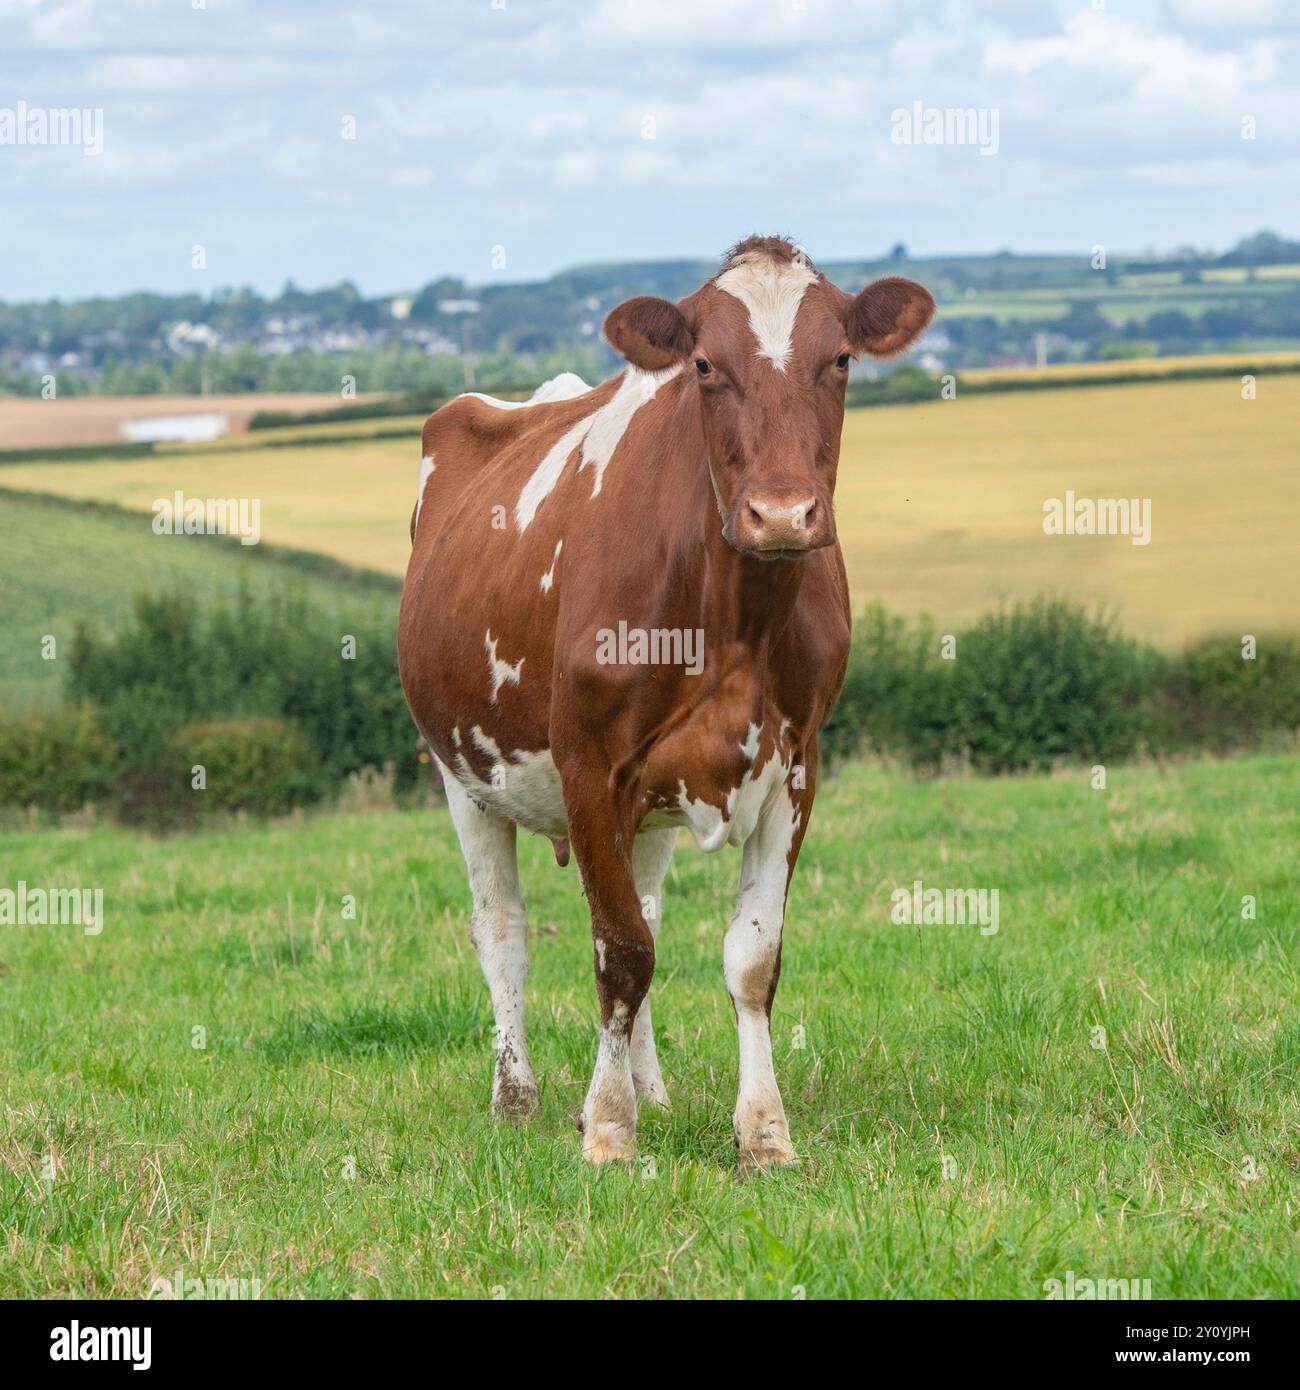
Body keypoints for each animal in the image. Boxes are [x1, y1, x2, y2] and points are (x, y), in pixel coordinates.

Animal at [398, 236, 934, 1169]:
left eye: (839, 359)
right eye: (705, 365)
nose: (782, 514)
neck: (735, 620)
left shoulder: (796, 769)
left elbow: (747, 958)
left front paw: (762, 1131)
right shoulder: (587, 765)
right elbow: (619, 953)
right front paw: (610, 1129)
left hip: (645, 810)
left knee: (641, 911)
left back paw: (649, 1085)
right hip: (461, 772)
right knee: (502, 934)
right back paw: (518, 1096)